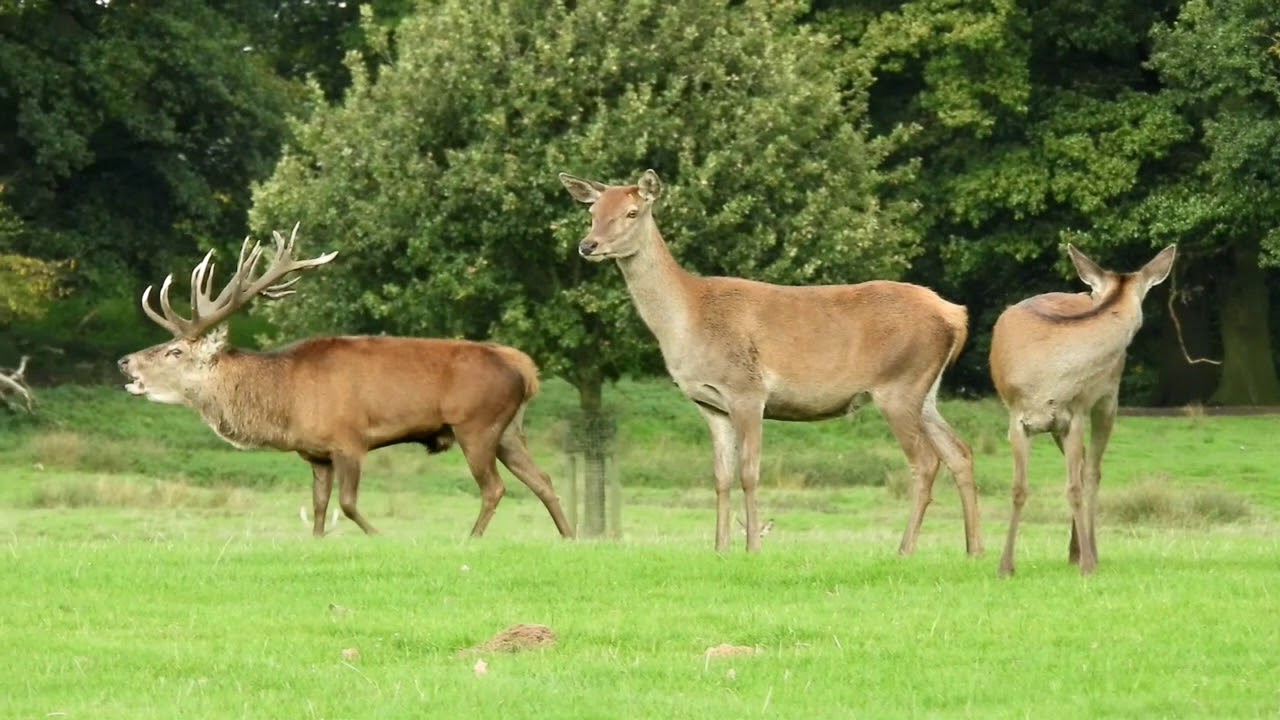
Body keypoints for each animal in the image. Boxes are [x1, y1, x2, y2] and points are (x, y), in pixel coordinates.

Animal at [117, 224, 573, 540]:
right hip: (509, 429)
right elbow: (319, 506)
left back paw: (471, 538)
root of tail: (524, 367)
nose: (125, 361)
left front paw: (381, 537)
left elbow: (349, 504)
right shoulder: (316, 453)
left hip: (476, 424)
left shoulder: (349, 439)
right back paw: (570, 537)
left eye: (175, 351)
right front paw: (318, 541)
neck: (286, 402)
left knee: (495, 487)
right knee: (543, 480)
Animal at [559, 169, 983, 555]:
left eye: (632, 212)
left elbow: (749, 472)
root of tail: (955, 315)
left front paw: (751, 549)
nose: (588, 245)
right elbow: (721, 476)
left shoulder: (747, 390)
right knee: (960, 452)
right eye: (592, 210)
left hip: (899, 384)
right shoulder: (710, 403)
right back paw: (974, 548)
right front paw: (720, 549)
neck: (688, 320)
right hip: (926, 391)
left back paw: (905, 549)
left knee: (926, 461)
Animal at [989, 244, 1176, 577]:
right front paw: (1005, 566)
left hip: (1107, 400)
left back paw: (1089, 552)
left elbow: (1074, 488)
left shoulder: (1074, 413)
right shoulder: (1017, 416)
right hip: (1055, 426)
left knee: (1091, 471)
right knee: (1085, 464)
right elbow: (1018, 488)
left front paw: (1088, 565)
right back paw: (1075, 550)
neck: (1047, 373)